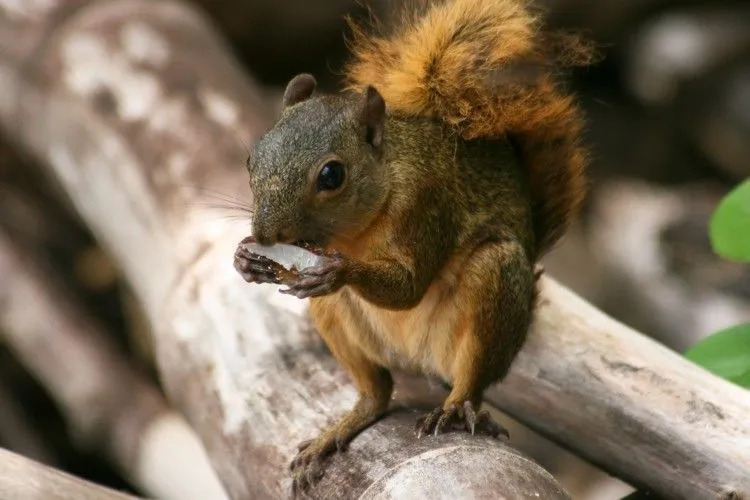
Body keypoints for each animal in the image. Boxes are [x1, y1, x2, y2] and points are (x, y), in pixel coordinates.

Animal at [232, 0, 596, 492]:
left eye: (332, 175)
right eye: (252, 158)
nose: (267, 234)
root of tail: (418, 360)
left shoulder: (425, 204)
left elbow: (407, 287)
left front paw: (338, 271)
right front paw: (245, 259)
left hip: (493, 283)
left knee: (473, 379)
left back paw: (456, 407)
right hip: (341, 323)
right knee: (378, 393)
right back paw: (337, 431)